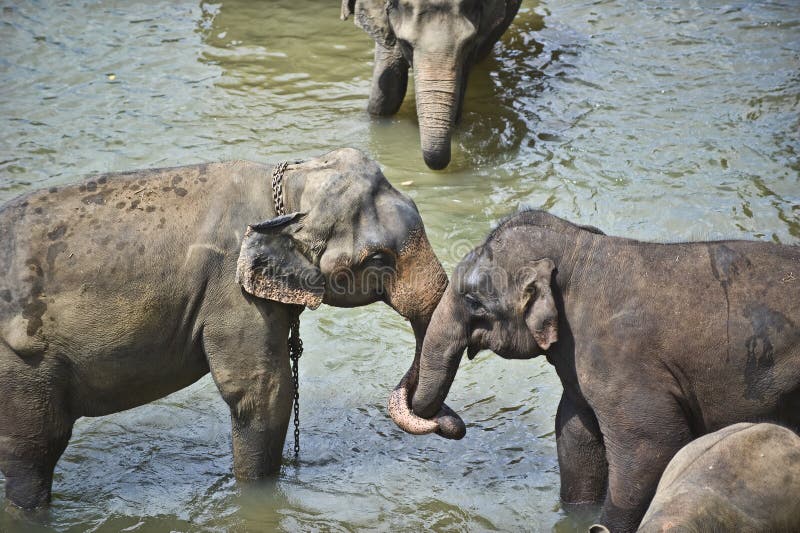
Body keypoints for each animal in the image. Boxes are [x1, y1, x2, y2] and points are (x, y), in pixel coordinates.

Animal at [0, 148, 463, 510]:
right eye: (379, 258)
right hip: (22, 368)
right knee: (36, 448)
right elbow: (263, 393)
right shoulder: (233, 292)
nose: (451, 425)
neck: (288, 186)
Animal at [389, 210, 800, 532]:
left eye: (473, 300)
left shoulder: (623, 361)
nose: (454, 425)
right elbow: (574, 432)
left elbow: (651, 445)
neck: (581, 249)